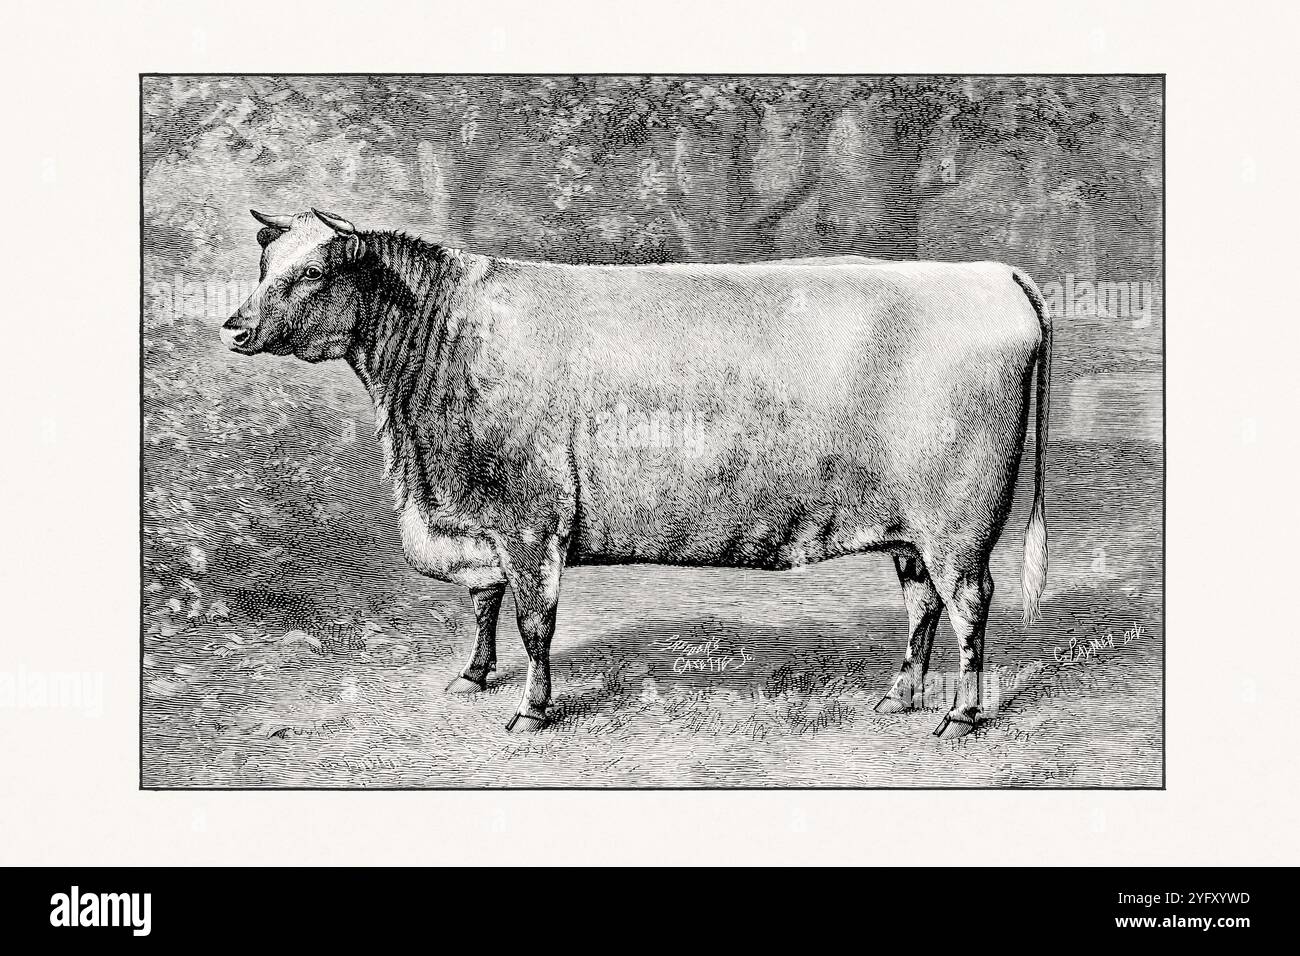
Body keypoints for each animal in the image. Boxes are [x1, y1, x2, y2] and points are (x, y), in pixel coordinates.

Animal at [222, 209, 1051, 740]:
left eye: (314, 271)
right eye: (264, 264)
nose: (234, 325)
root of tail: (994, 275)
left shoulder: (529, 517)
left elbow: (533, 619)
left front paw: (531, 709)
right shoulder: (480, 516)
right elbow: (484, 603)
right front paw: (474, 674)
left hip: (957, 523)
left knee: (969, 604)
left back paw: (961, 714)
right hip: (908, 527)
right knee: (922, 605)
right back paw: (900, 696)